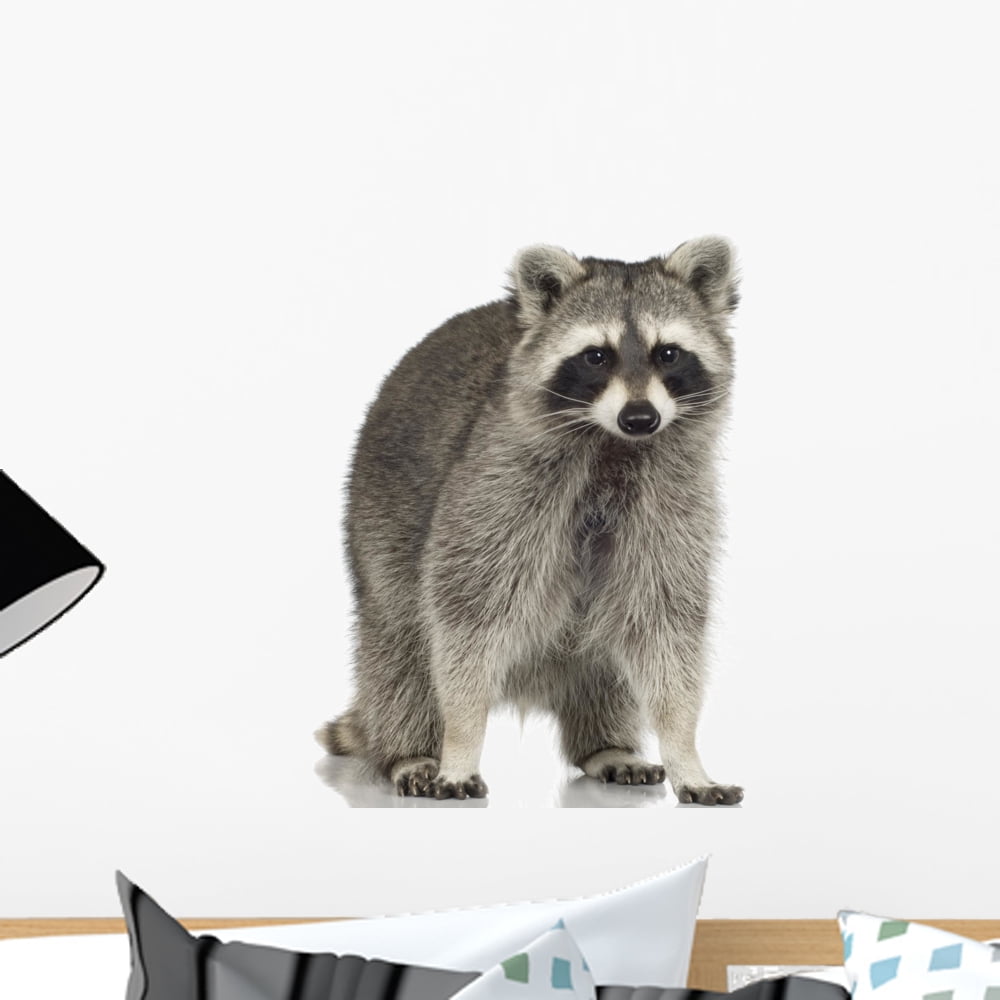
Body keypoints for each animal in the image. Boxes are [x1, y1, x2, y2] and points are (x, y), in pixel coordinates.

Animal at [317, 237, 744, 805]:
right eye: (596, 356)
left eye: (667, 353)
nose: (640, 418)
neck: (611, 444)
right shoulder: (497, 483)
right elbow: (466, 617)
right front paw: (460, 739)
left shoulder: (674, 499)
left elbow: (665, 623)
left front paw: (684, 748)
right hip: (376, 514)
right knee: (399, 641)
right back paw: (409, 749)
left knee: (604, 659)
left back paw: (607, 744)